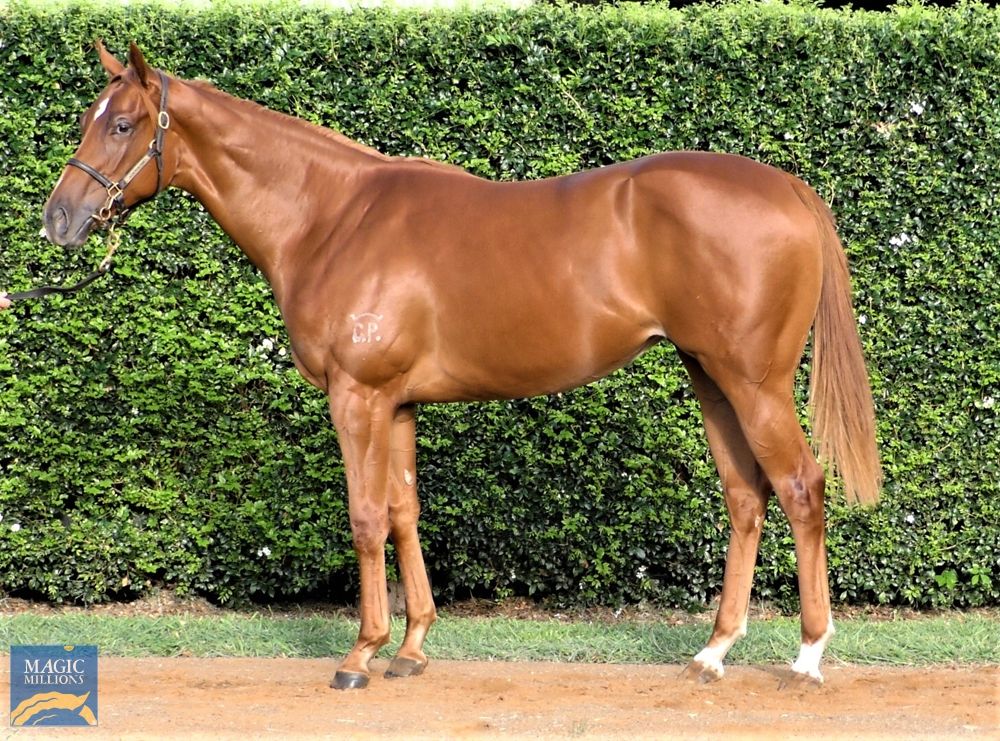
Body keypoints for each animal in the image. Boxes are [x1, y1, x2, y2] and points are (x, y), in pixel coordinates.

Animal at [42, 42, 881, 690]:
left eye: (122, 123)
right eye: (88, 117)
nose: (58, 220)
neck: (333, 218)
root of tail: (789, 186)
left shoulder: (356, 397)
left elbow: (365, 516)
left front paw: (360, 654)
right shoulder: (397, 402)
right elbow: (405, 511)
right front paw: (413, 647)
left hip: (754, 383)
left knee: (800, 487)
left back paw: (807, 656)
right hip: (710, 377)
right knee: (746, 496)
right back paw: (713, 651)